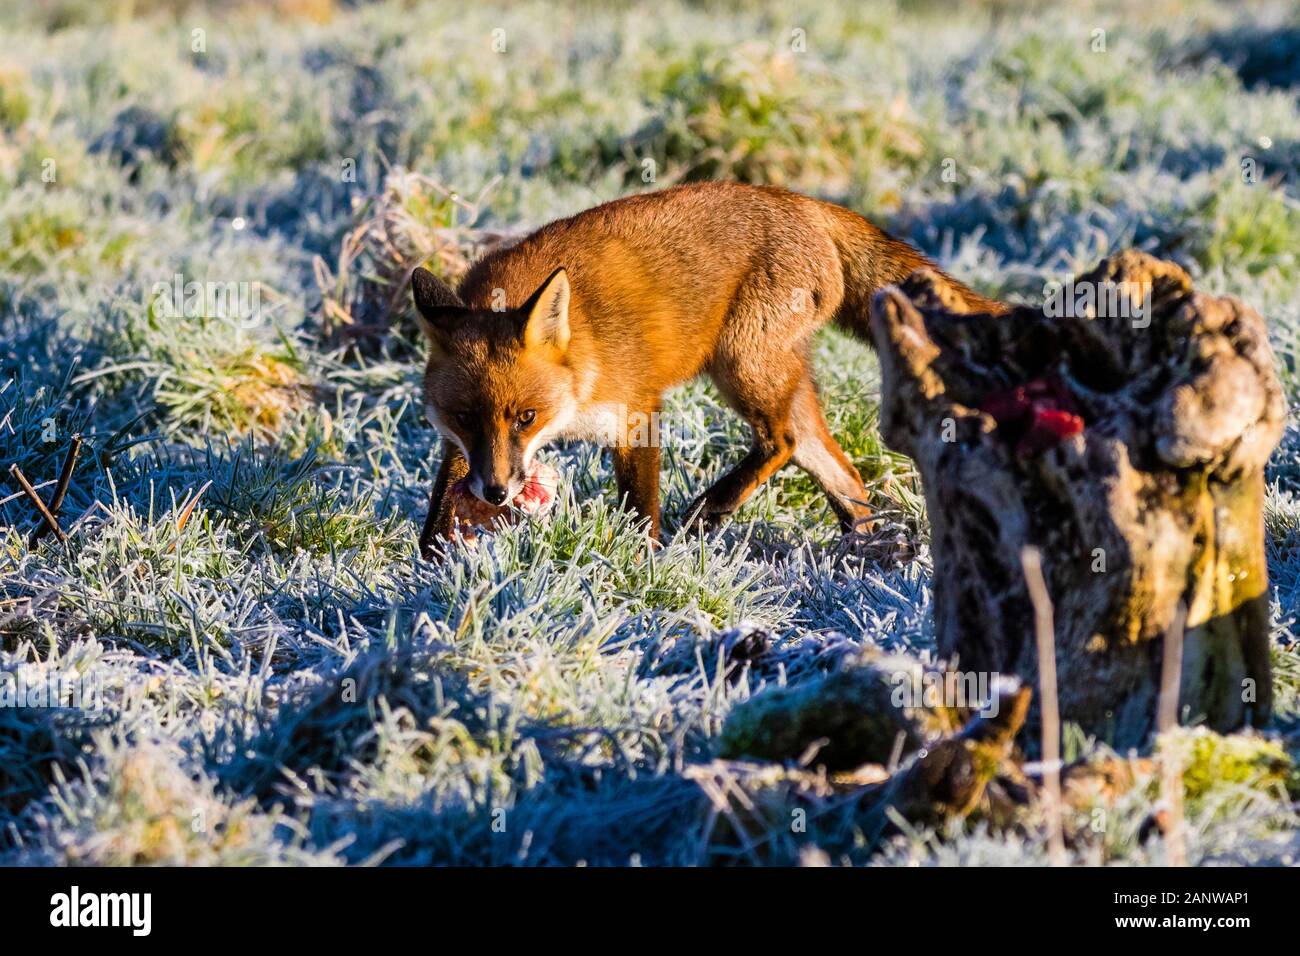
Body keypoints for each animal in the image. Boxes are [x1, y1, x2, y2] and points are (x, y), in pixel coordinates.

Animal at [412, 181, 1003, 552]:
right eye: (465, 417)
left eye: (526, 417)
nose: (496, 494)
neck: (581, 362)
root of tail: (803, 201)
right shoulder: (461, 447)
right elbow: (437, 512)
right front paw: (431, 569)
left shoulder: (637, 414)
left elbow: (639, 513)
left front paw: (641, 570)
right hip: (771, 377)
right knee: (843, 472)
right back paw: (867, 549)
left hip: (740, 365)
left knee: (781, 441)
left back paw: (712, 509)